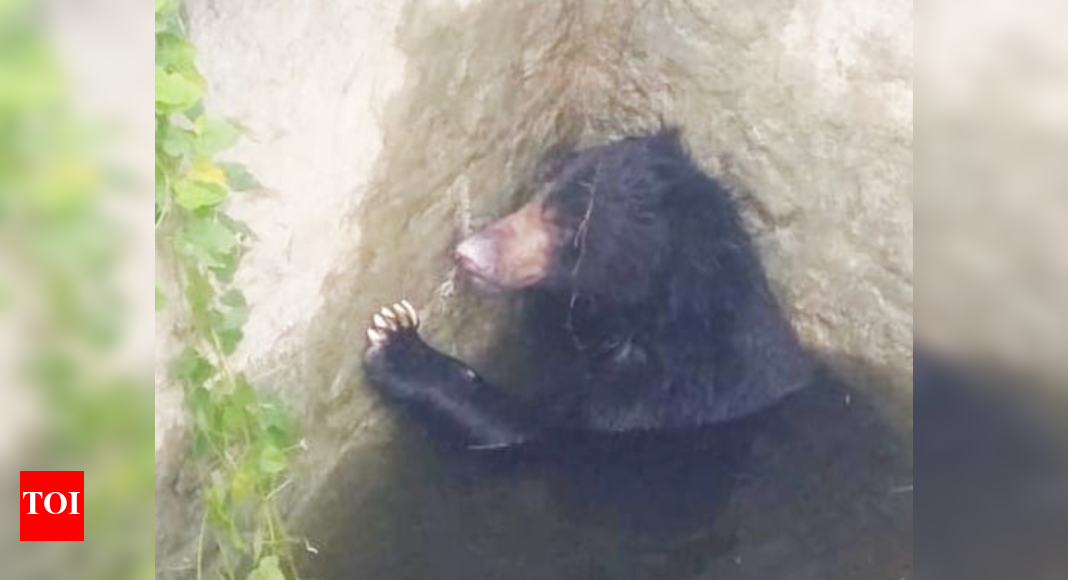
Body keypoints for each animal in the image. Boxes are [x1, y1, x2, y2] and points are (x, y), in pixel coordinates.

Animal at [362, 129, 814, 450]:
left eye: (568, 228)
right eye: (542, 191)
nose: (468, 253)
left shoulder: (664, 397)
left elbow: (534, 427)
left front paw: (396, 341)